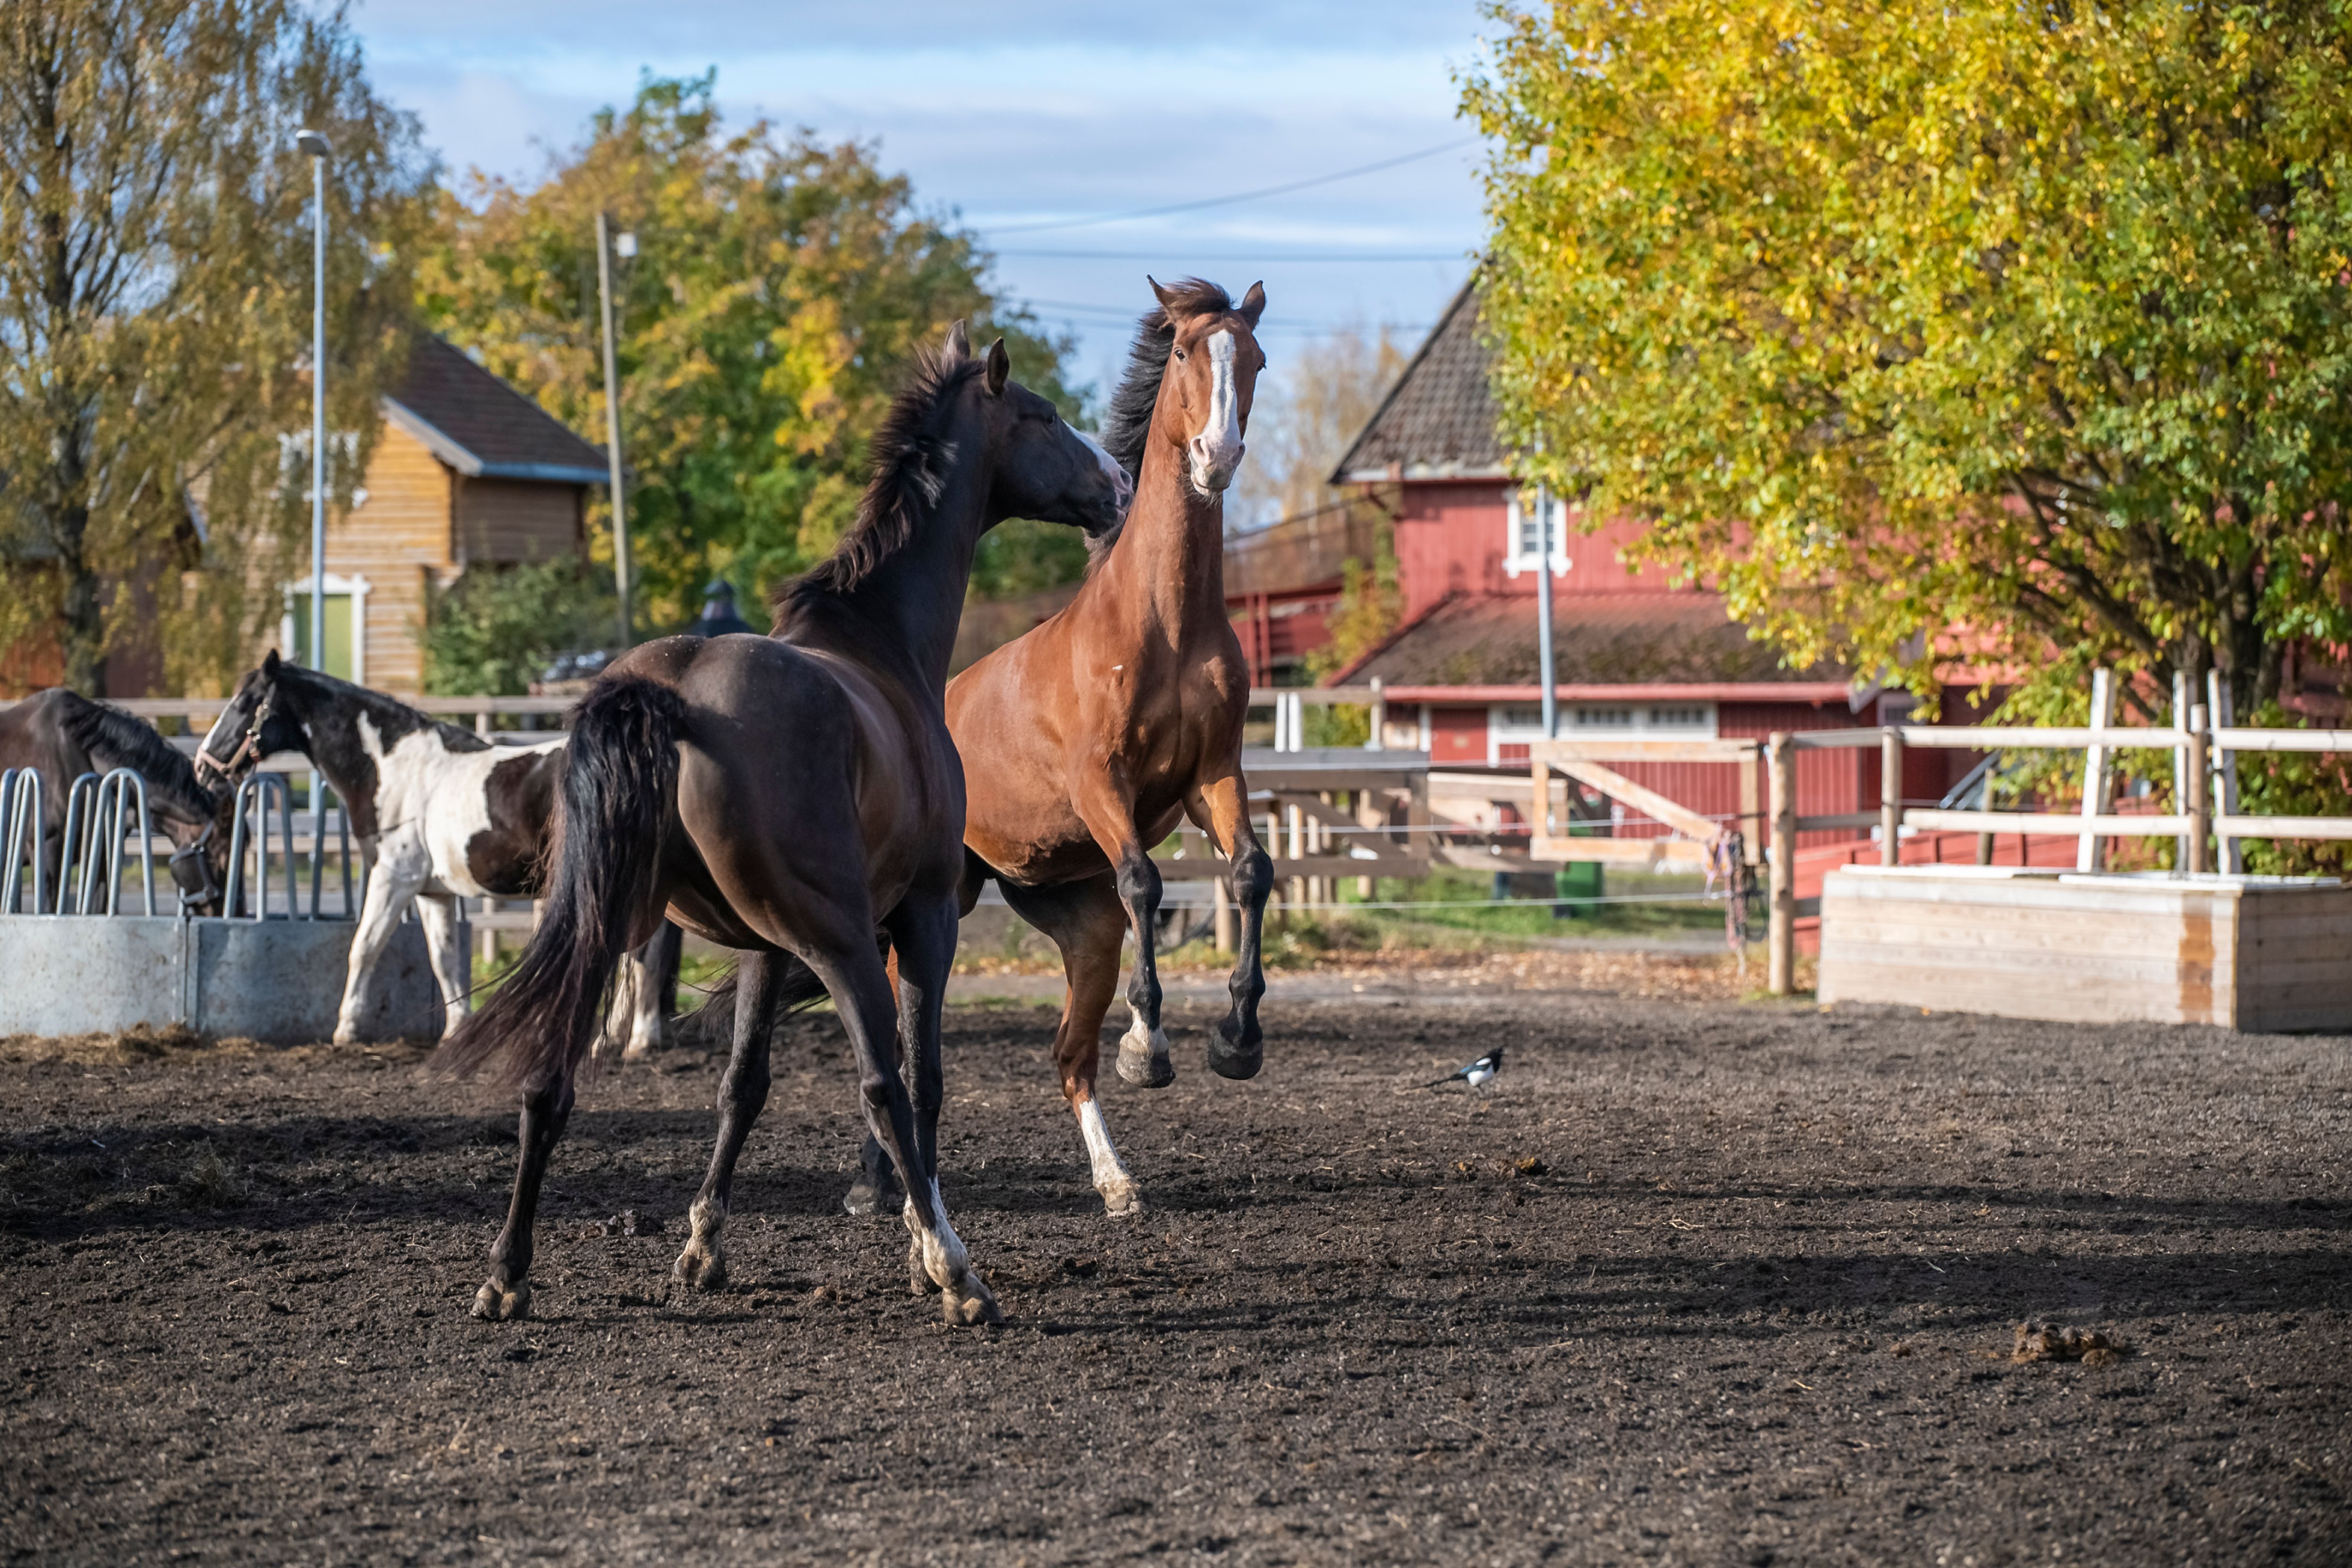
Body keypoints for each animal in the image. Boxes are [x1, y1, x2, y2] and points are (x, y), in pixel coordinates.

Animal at [193, 658, 680, 1052]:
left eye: (246, 703)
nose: (203, 765)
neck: (393, 769)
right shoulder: (433, 893)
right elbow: (444, 959)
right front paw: (455, 1029)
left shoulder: (394, 878)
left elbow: (364, 948)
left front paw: (347, 1028)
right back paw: (623, 1038)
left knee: (640, 955)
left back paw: (630, 1040)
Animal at [431, 323, 1130, 1325]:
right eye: (1040, 414)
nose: (1117, 483)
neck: (881, 644)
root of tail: (669, 692)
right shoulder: (923, 917)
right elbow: (920, 1082)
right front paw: (924, 1248)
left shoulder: (761, 948)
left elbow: (742, 1087)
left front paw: (701, 1248)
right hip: (839, 938)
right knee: (883, 1085)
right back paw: (960, 1274)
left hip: (610, 925)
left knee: (547, 1082)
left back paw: (506, 1271)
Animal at [840, 278, 1277, 1221]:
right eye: (1184, 351)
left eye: (1256, 359)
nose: (1218, 455)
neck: (1163, 618)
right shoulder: (1101, 785)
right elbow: (1146, 880)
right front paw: (1150, 1045)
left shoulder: (1212, 777)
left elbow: (1252, 874)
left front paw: (1237, 1038)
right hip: (931, 908)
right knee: (893, 1030)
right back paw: (871, 1183)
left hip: (1078, 920)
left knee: (1069, 1055)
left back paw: (1116, 1181)